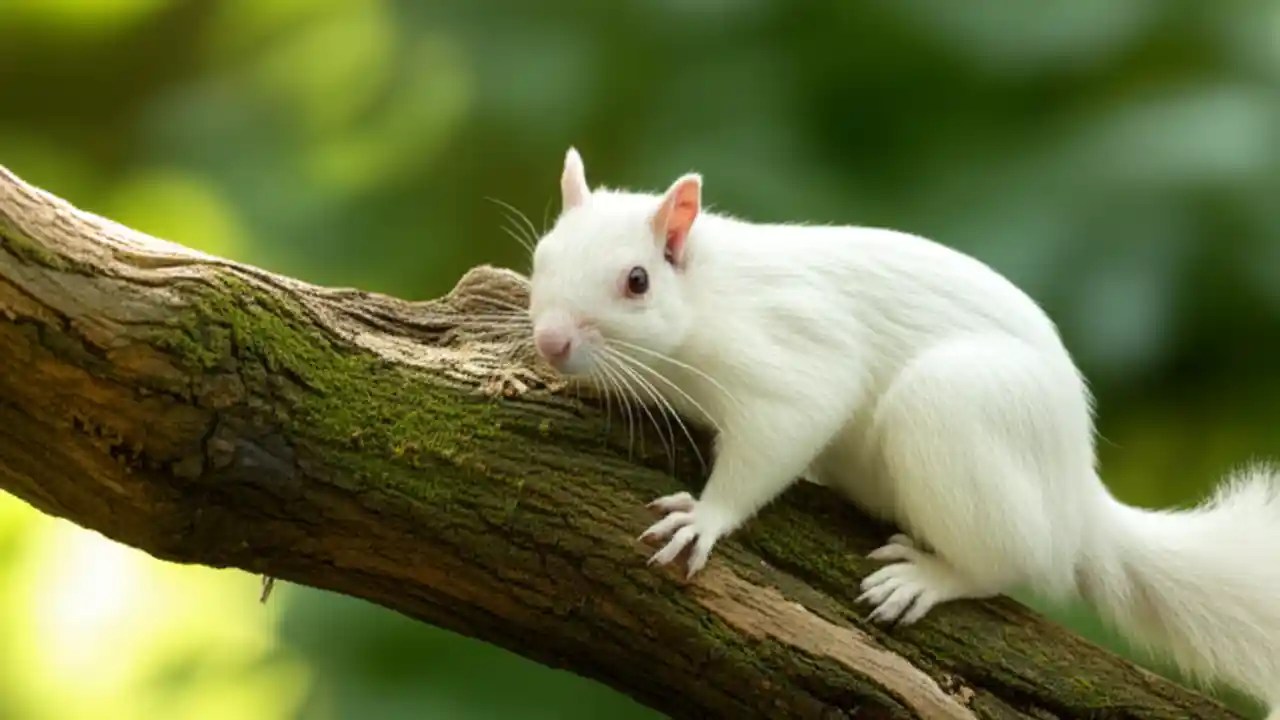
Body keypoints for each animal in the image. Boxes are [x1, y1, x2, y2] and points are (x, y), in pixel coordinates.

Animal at [527, 147, 1280, 715]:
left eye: (637, 280)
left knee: (1015, 560)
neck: (709, 294)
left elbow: (778, 438)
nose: (550, 342)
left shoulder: (793, 363)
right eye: (541, 256)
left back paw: (931, 576)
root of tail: (1078, 501)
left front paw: (703, 520)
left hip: (951, 412)